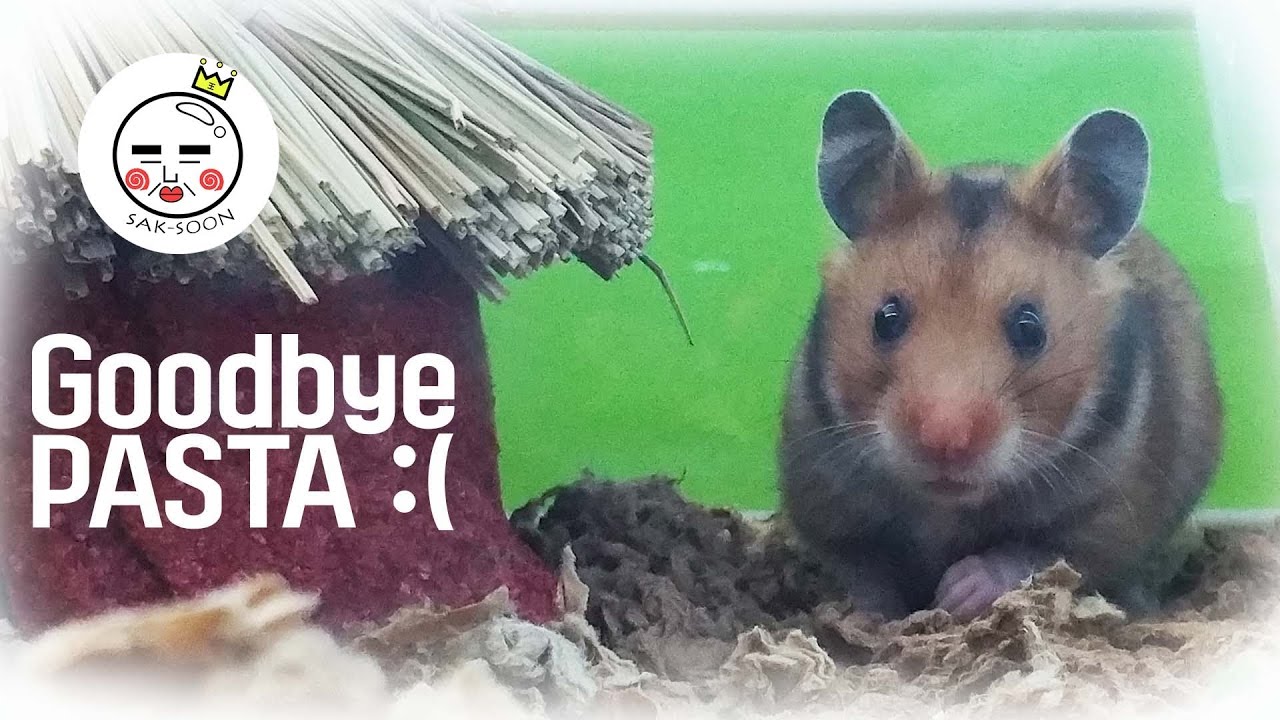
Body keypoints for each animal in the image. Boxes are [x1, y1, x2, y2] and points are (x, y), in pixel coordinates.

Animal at [779, 90, 1222, 621]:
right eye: (886, 318)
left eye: (1030, 328)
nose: (945, 442)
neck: (945, 507)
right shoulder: (823, 500)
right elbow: (865, 573)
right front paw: (868, 617)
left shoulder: (1109, 515)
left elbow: (1030, 554)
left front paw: (957, 591)